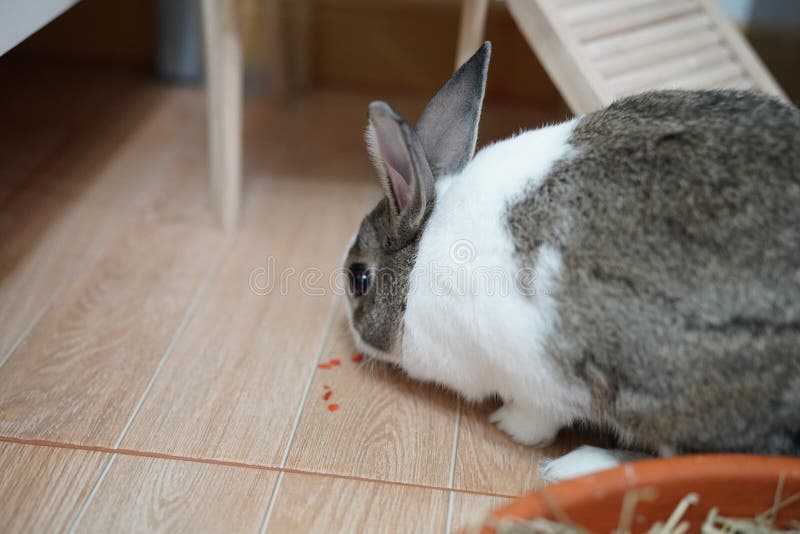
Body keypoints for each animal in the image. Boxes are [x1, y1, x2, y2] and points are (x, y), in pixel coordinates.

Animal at [343, 42, 800, 482]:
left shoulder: (541, 382)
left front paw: (506, 423)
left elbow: (537, 419)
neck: (419, 264)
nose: (354, 335)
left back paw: (573, 467)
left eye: (358, 278)